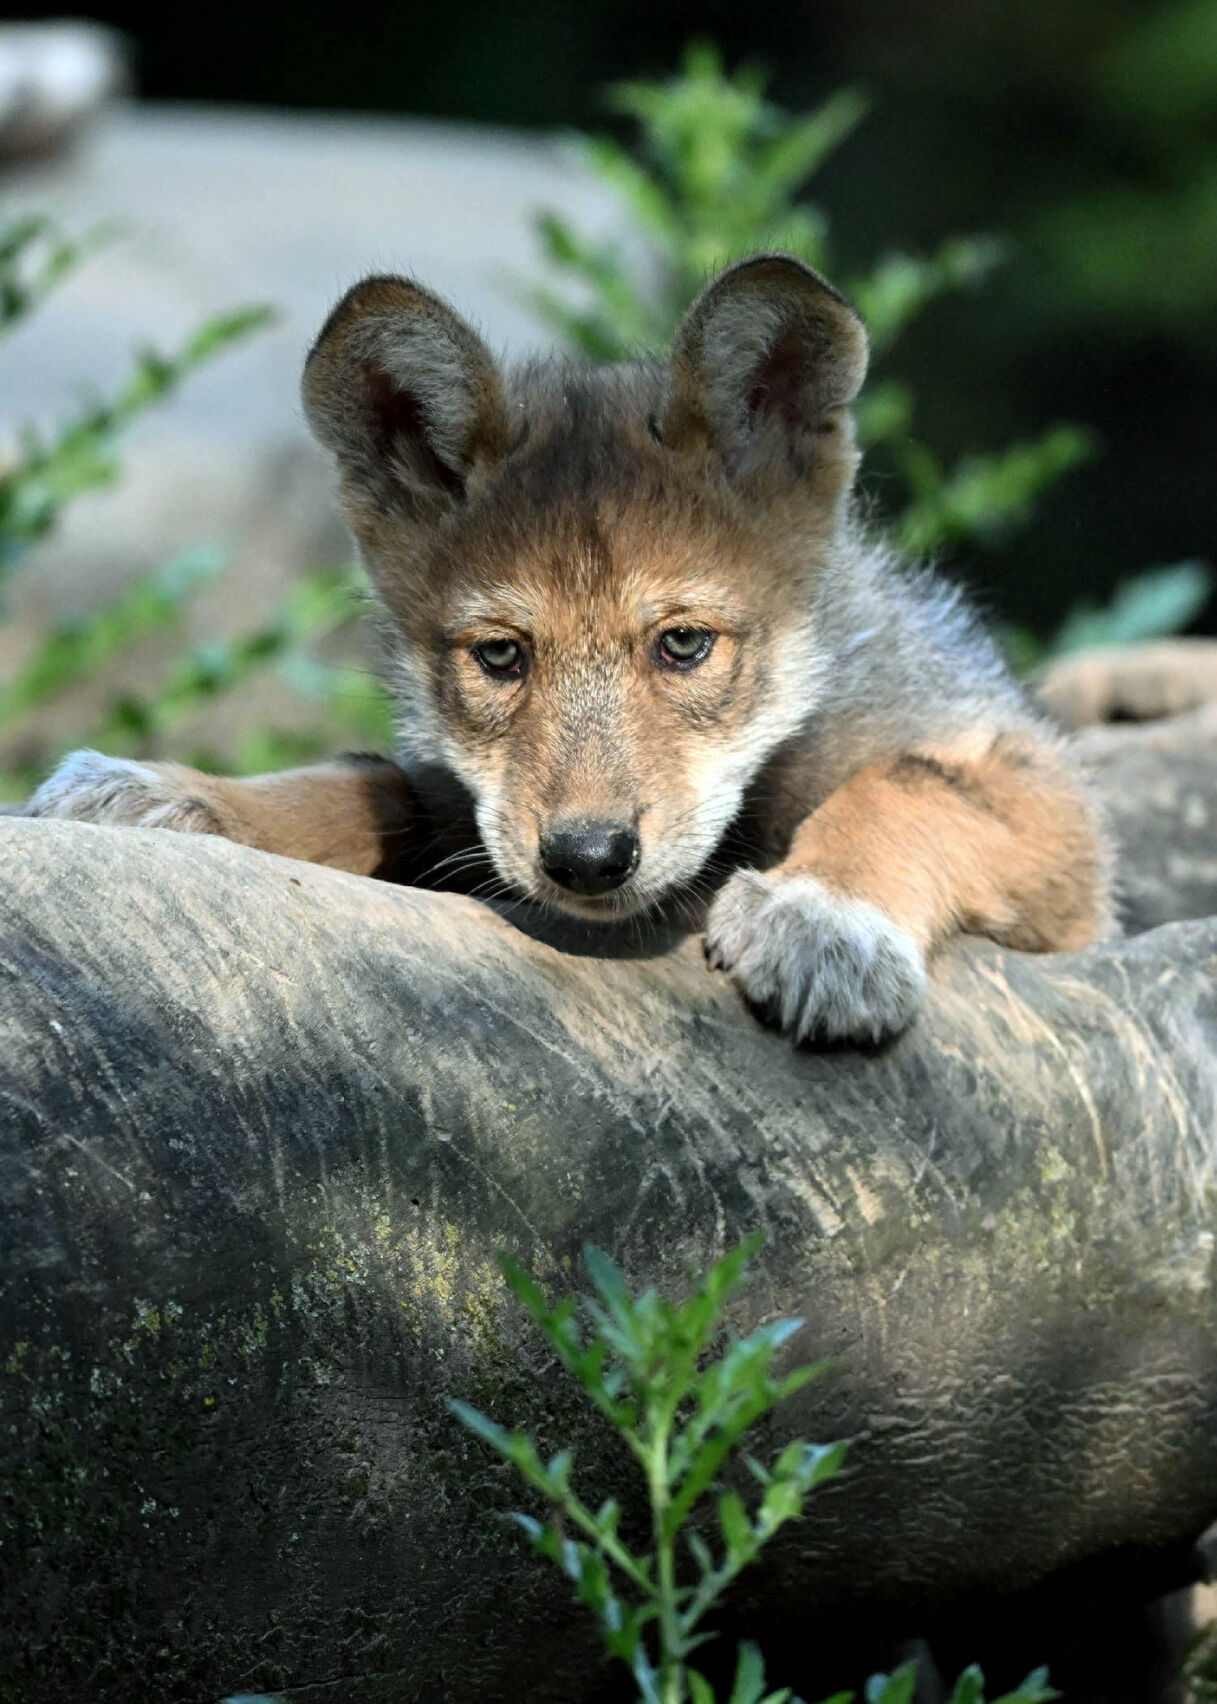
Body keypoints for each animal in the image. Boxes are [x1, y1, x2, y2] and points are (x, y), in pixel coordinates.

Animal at [26, 254, 1110, 1043]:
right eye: (500, 657)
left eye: (683, 645)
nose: (588, 860)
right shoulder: (469, 806)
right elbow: (361, 780)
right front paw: (174, 791)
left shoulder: (1049, 809)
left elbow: (905, 787)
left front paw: (825, 912)